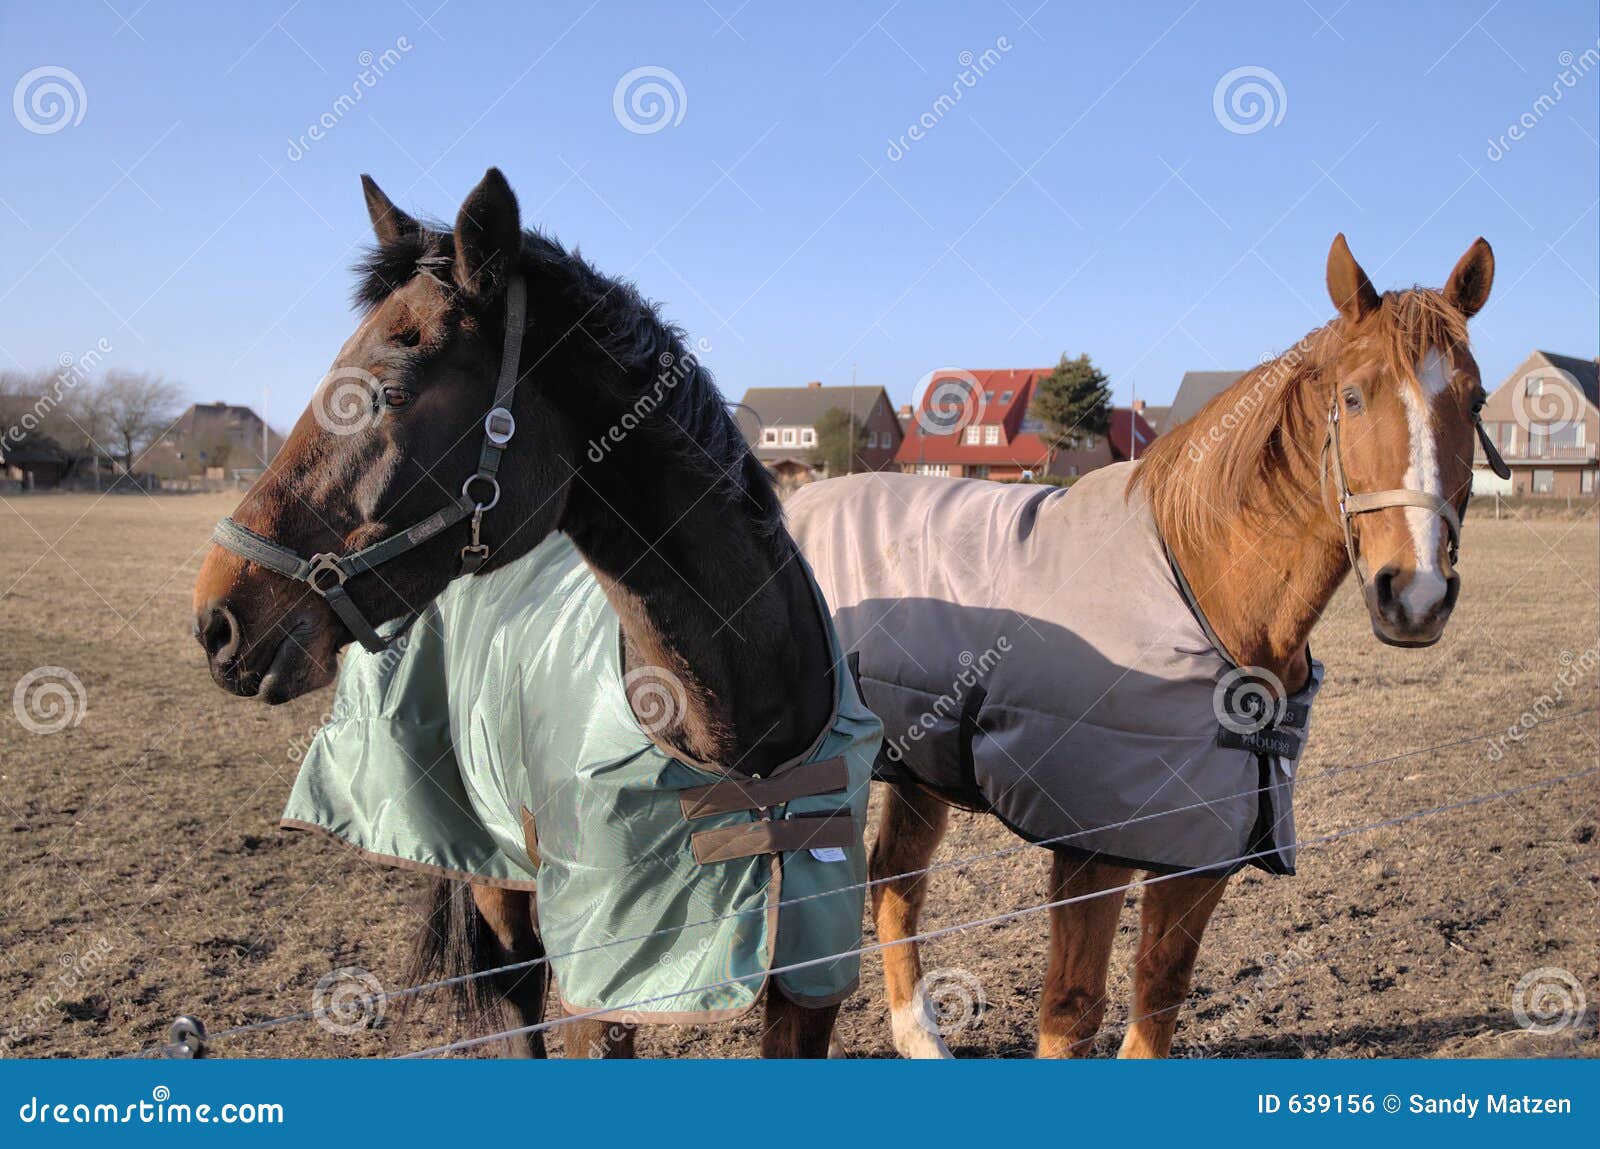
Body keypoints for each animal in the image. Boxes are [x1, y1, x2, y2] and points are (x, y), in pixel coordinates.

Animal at [191, 169, 854, 1058]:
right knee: (514, 993)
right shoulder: (602, 985)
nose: (218, 616)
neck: (738, 723)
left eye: (389, 391)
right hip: (492, 868)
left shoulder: (813, 976)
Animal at [788, 233, 1506, 1058]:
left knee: (897, 881)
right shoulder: (1091, 845)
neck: (1200, 588)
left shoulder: (1200, 844)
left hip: (920, 769)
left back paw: (921, 1037)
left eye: (1476, 400)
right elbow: (1071, 1010)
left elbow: (1159, 992)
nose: (1414, 591)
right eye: (1354, 396)